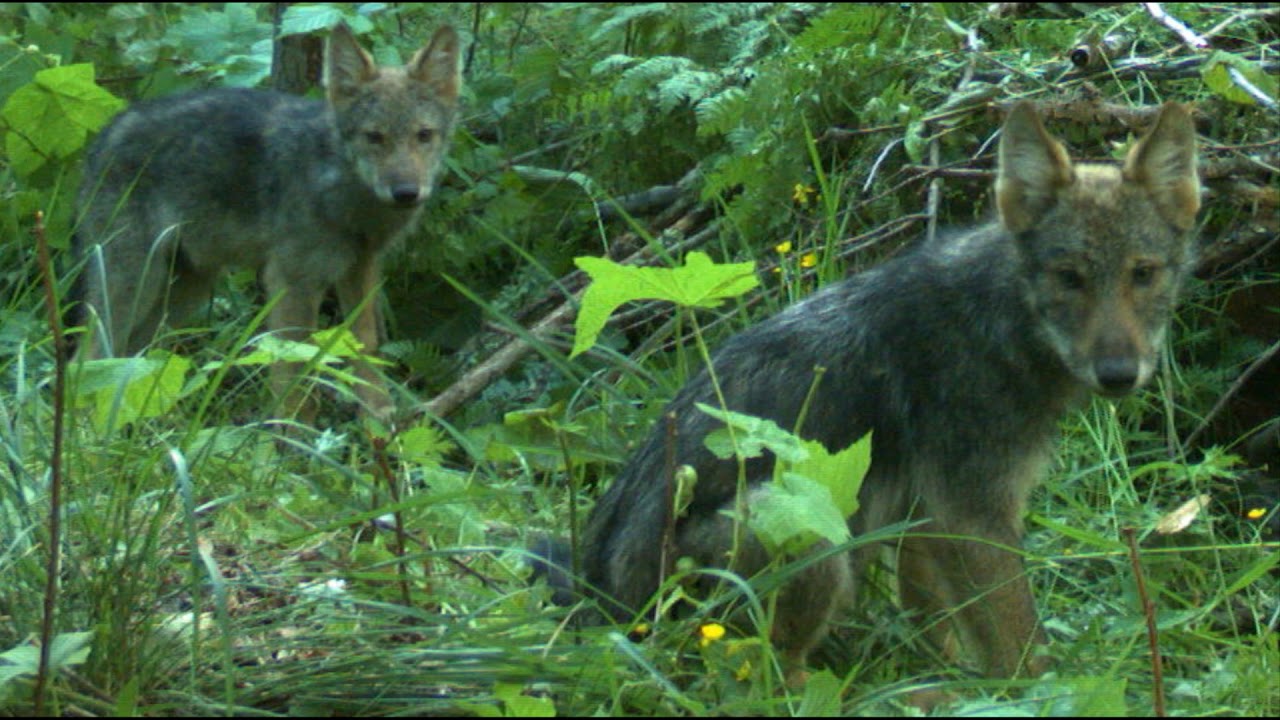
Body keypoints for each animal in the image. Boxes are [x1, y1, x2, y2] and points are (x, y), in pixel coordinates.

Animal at [73, 22, 461, 422]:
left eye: (423, 135)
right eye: (375, 136)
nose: (406, 193)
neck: (342, 194)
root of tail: (104, 135)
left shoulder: (361, 269)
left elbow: (365, 349)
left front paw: (380, 423)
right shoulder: (290, 281)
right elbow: (294, 371)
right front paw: (291, 435)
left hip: (182, 292)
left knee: (126, 363)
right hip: (136, 285)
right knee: (85, 360)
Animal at [569, 101, 1200, 678]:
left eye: (1143, 274)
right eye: (1069, 278)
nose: (1119, 373)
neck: (997, 320)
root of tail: (602, 611)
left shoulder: (924, 521)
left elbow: (937, 629)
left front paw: (953, 685)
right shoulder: (973, 518)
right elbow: (1025, 652)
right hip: (803, 521)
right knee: (767, 675)